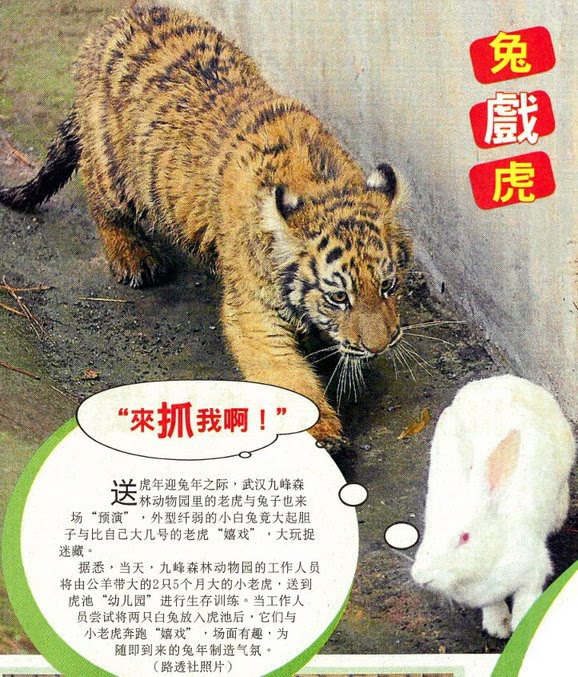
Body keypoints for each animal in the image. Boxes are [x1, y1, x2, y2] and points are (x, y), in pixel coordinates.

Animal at [0, 5, 412, 447]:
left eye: (388, 286)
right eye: (338, 297)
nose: (381, 346)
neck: (321, 184)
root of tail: (120, 18)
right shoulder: (251, 312)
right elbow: (284, 373)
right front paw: (319, 430)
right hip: (114, 171)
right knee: (98, 197)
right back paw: (133, 257)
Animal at [411, 374, 576, 638]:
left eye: (465, 537)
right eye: (429, 529)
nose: (421, 577)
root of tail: (503, 379)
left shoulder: (533, 569)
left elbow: (526, 600)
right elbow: (492, 604)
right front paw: (498, 625)